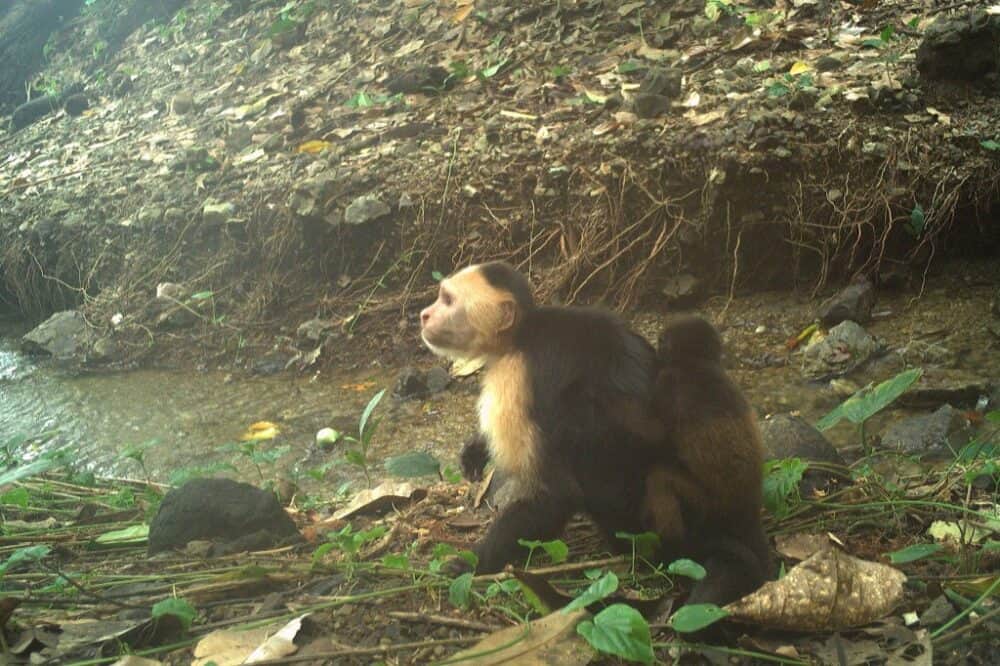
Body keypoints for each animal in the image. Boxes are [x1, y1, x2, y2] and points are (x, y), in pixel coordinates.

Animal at [419, 262, 769, 606]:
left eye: (447, 300)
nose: (423, 314)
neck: (519, 337)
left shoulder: (516, 380)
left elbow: (557, 494)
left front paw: (473, 563)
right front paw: (476, 448)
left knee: (584, 421)